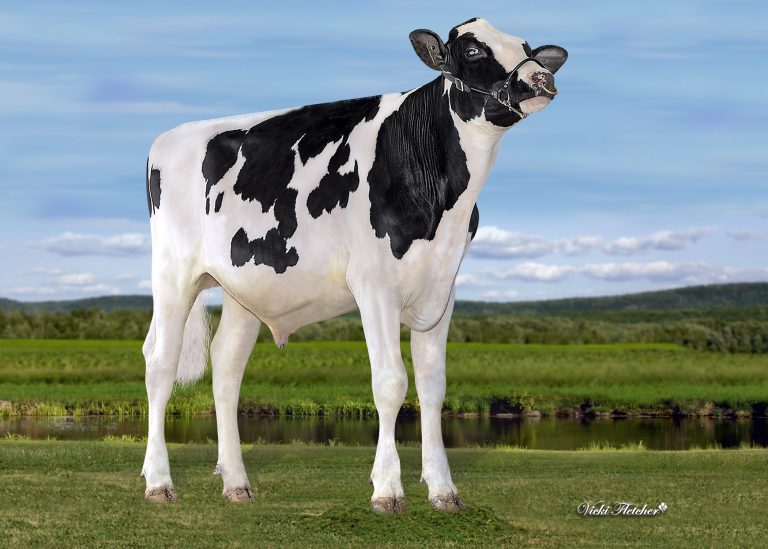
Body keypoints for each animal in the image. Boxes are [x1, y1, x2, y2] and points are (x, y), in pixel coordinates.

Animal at [141, 17, 567, 513]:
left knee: (226, 367)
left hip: (243, 286)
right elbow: (390, 382)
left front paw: (443, 489)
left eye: (525, 46)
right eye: (474, 50)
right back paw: (158, 482)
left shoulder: (442, 288)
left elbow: (433, 386)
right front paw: (387, 489)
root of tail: (170, 136)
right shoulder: (375, 285)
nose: (540, 77)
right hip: (173, 274)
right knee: (161, 363)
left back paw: (236, 483)